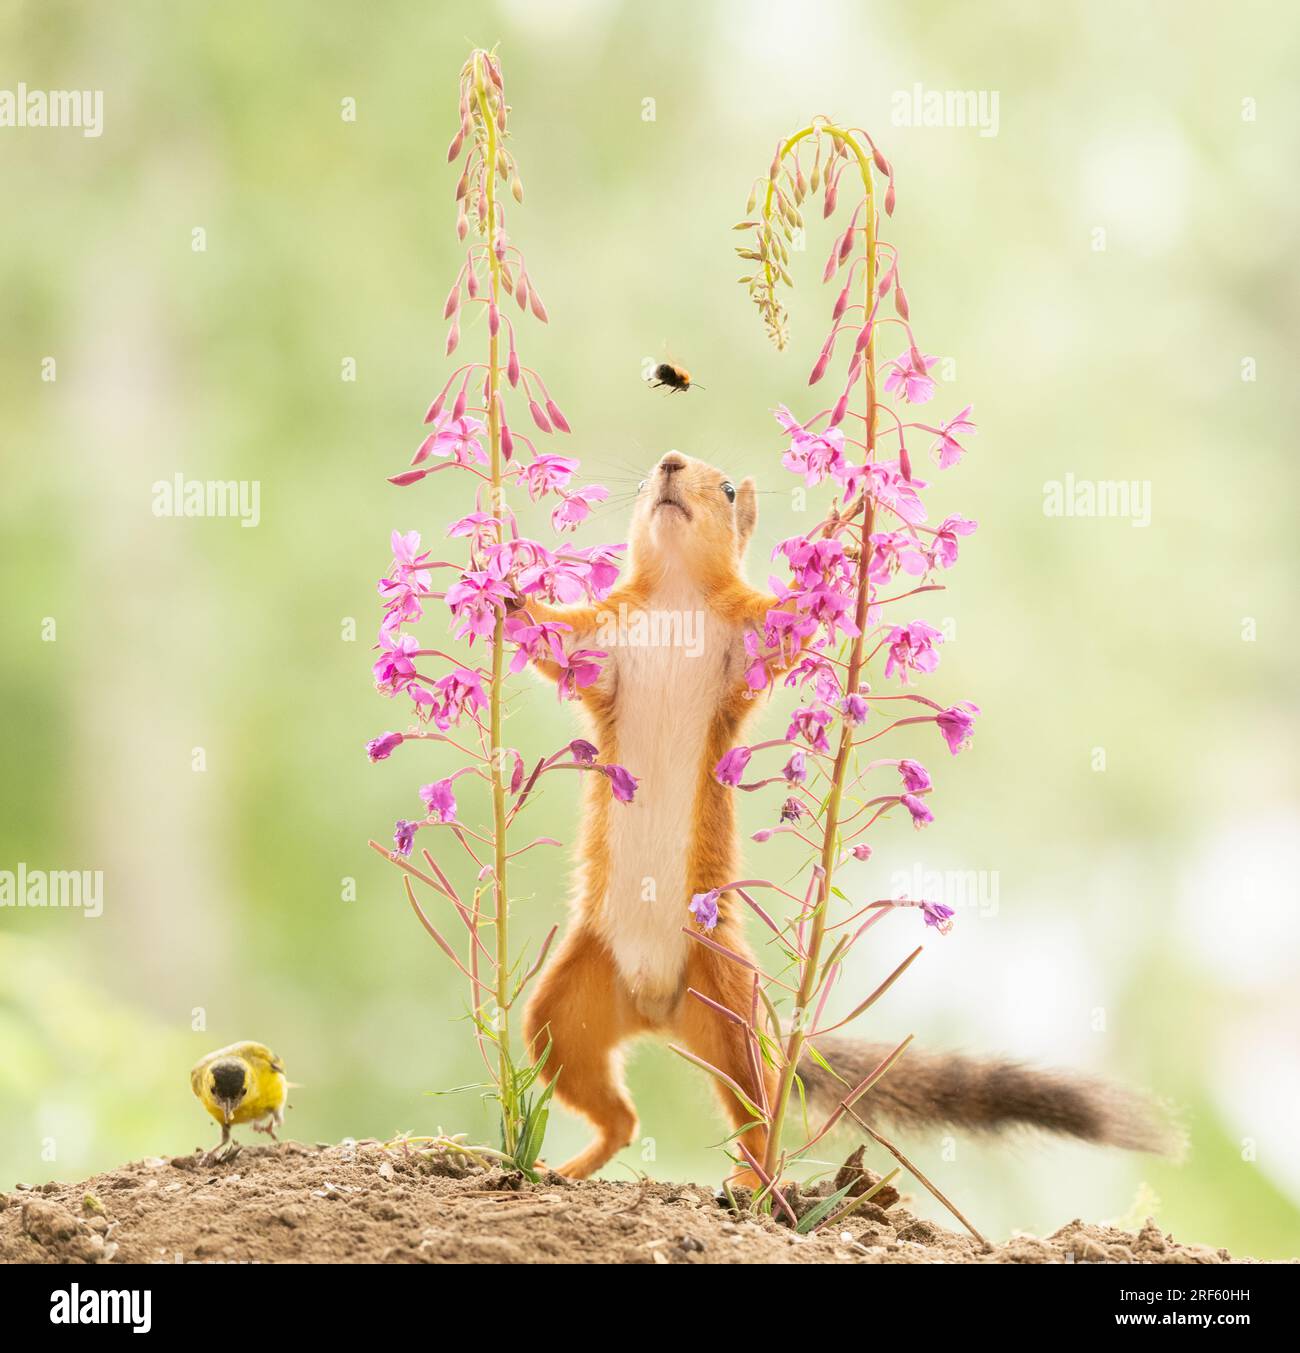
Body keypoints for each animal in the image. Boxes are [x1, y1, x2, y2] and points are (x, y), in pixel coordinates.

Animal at [520, 451, 1172, 1182]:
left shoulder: (746, 642)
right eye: (639, 483)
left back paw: (750, 1179)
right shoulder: (604, 641)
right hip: (563, 1011)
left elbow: (791, 619)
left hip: (729, 1002)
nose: (668, 462)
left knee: (754, 1109)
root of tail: (655, 1007)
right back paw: (566, 1166)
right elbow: (553, 638)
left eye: (726, 488)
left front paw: (840, 527)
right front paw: (504, 593)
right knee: (616, 1112)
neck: (676, 598)